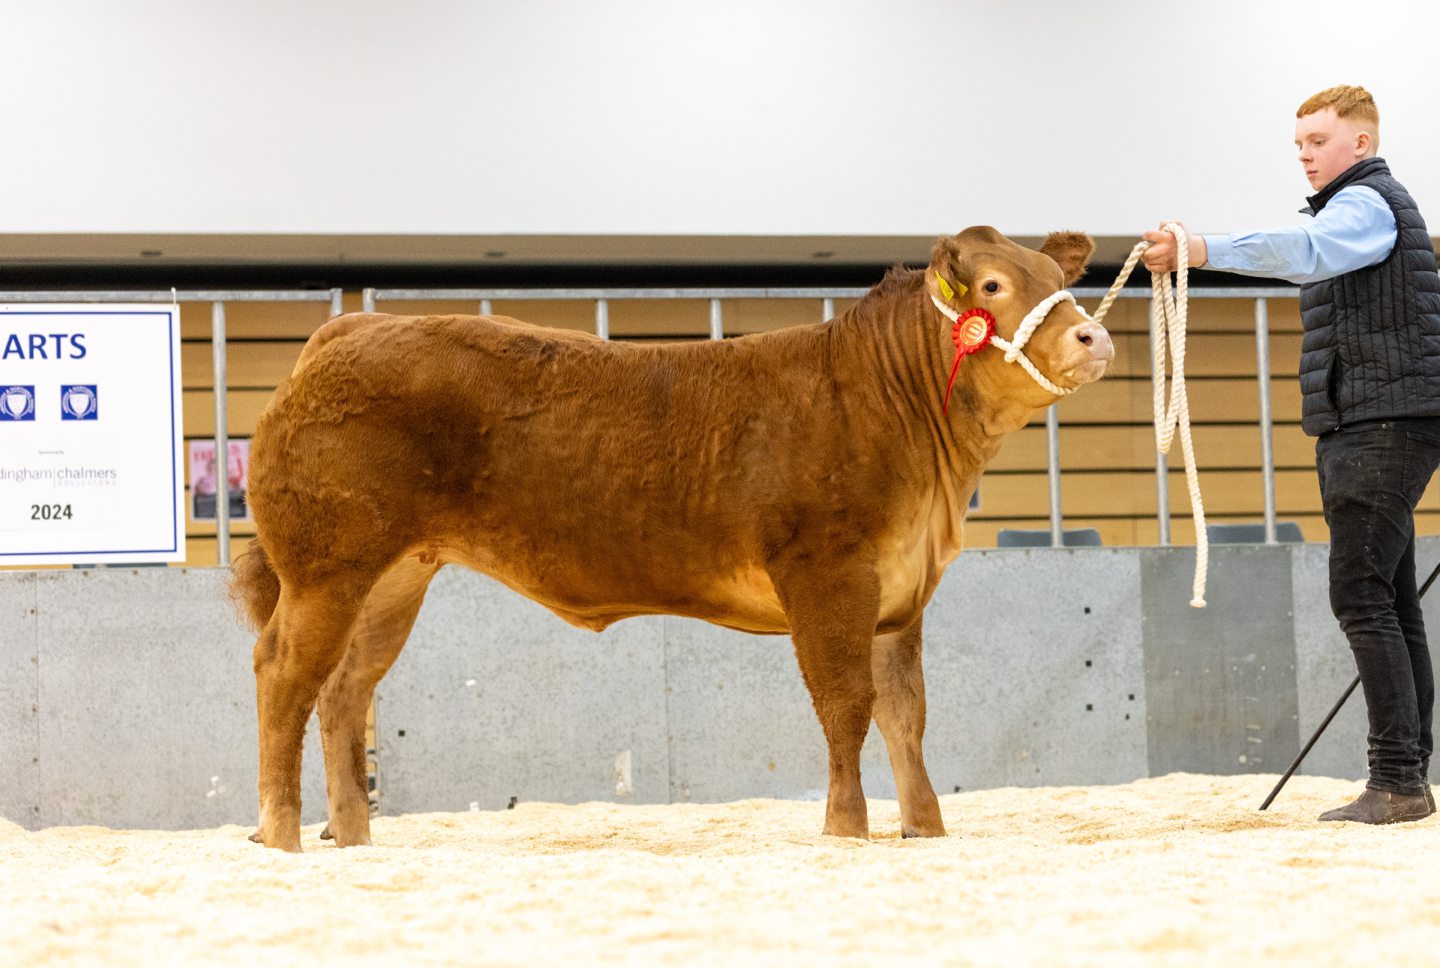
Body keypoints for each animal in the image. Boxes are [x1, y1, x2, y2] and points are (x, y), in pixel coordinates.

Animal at [230, 226, 1113, 851]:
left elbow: (907, 713)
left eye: (1063, 283)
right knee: (284, 671)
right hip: (327, 565)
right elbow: (846, 705)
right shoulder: (826, 570)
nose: (1094, 337)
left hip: (394, 577)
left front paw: (925, 827)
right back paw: (279, 832)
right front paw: (847, 827)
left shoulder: (902, 592)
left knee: (346, 687)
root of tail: (348, 330)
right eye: (994, 286)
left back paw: (353, 833)